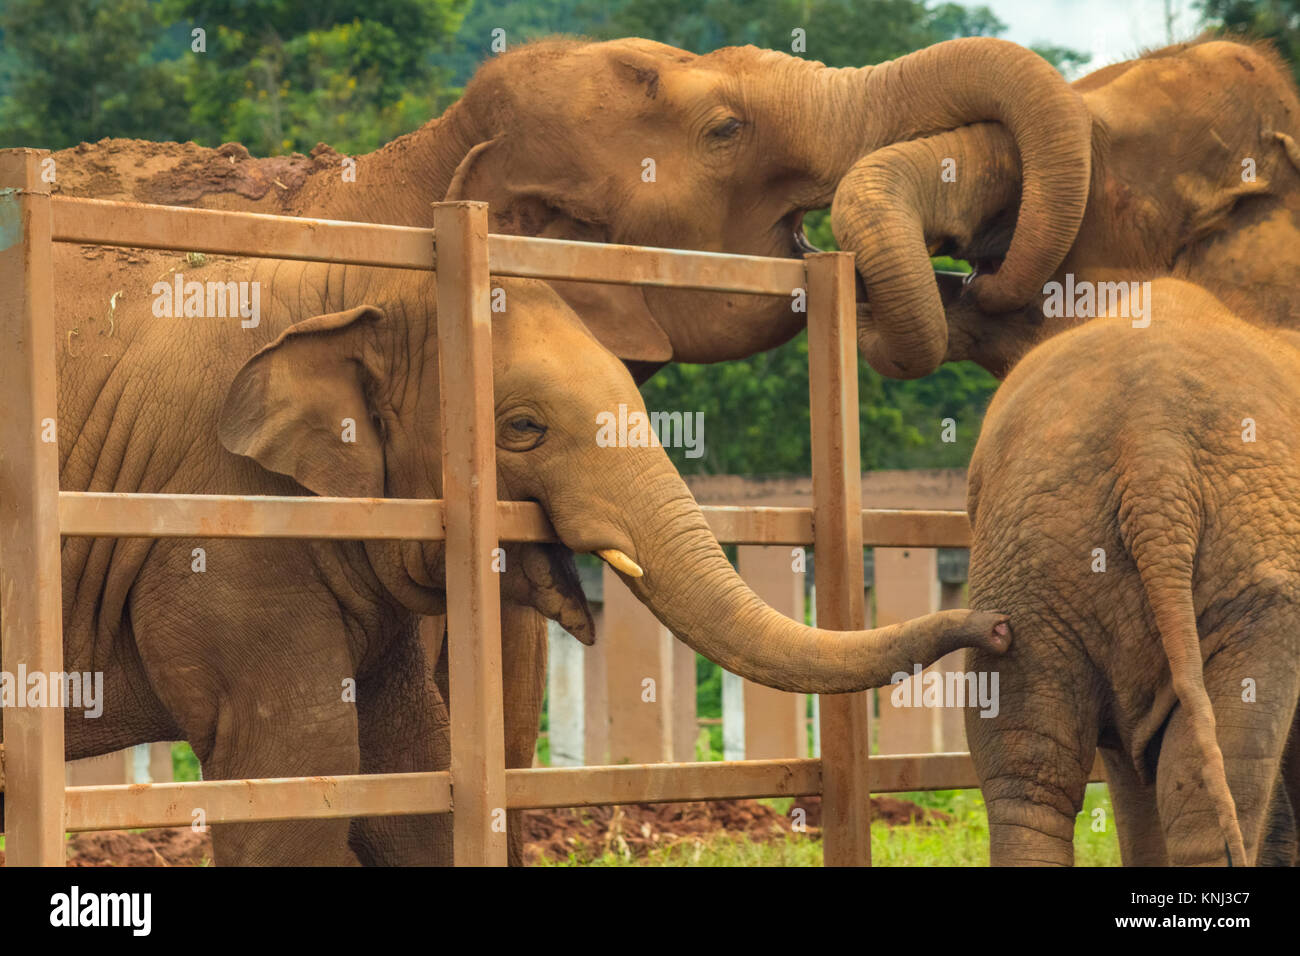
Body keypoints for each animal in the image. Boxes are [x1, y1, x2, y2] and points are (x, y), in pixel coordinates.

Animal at [0, 244, 1012, 864]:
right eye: (522, 429)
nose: (1000, 629)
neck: (348, 281)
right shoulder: (219, 520)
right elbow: (297, 767)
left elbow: (406, 767)